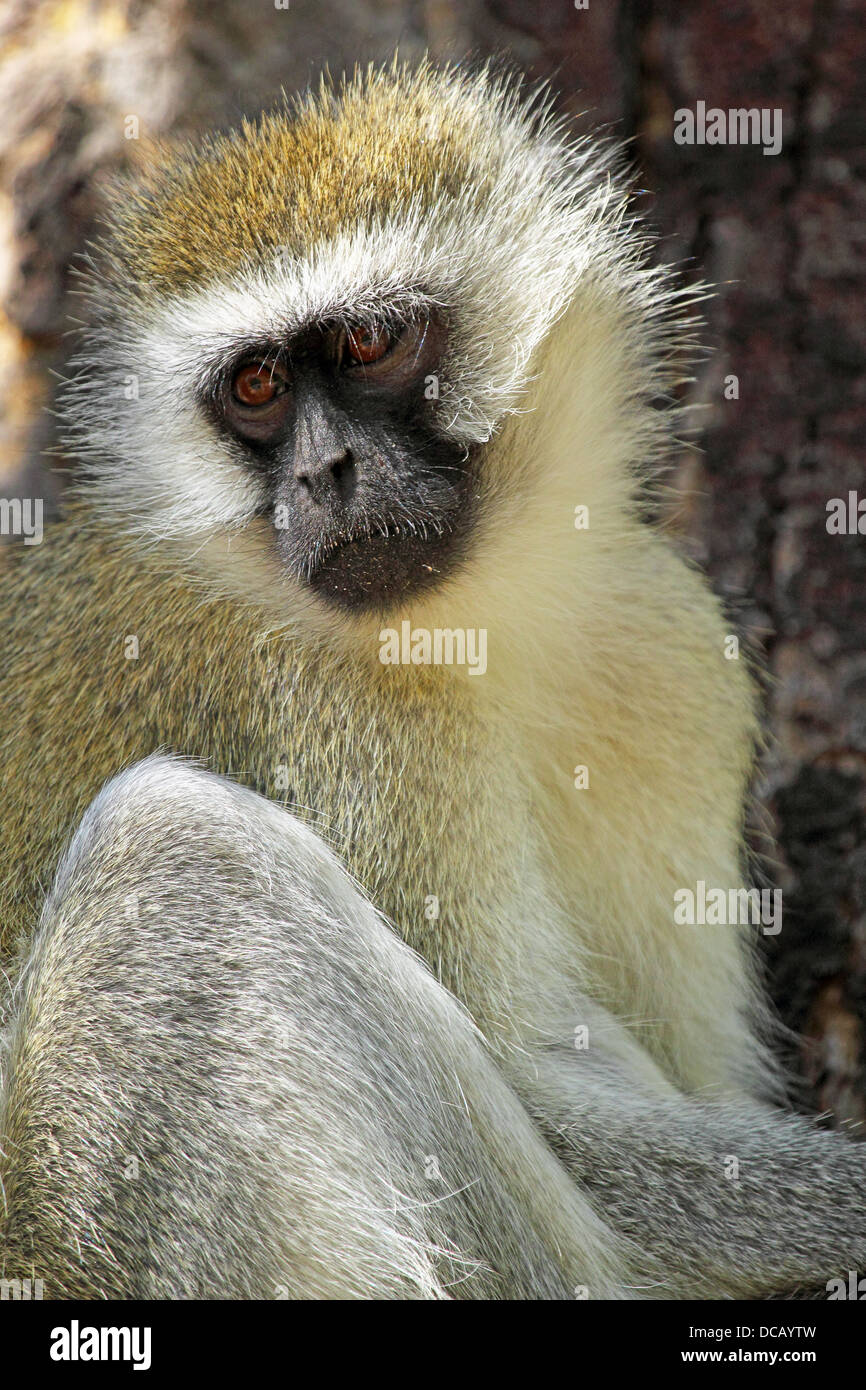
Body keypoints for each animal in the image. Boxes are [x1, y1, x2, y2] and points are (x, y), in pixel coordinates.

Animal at [0, 58, 864, 1300]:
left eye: (367, 343)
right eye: (256, 386)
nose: (323, 469)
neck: (489, 611)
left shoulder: (671, 648)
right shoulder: (336, 707)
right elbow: (551, 1098)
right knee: (174, 850)